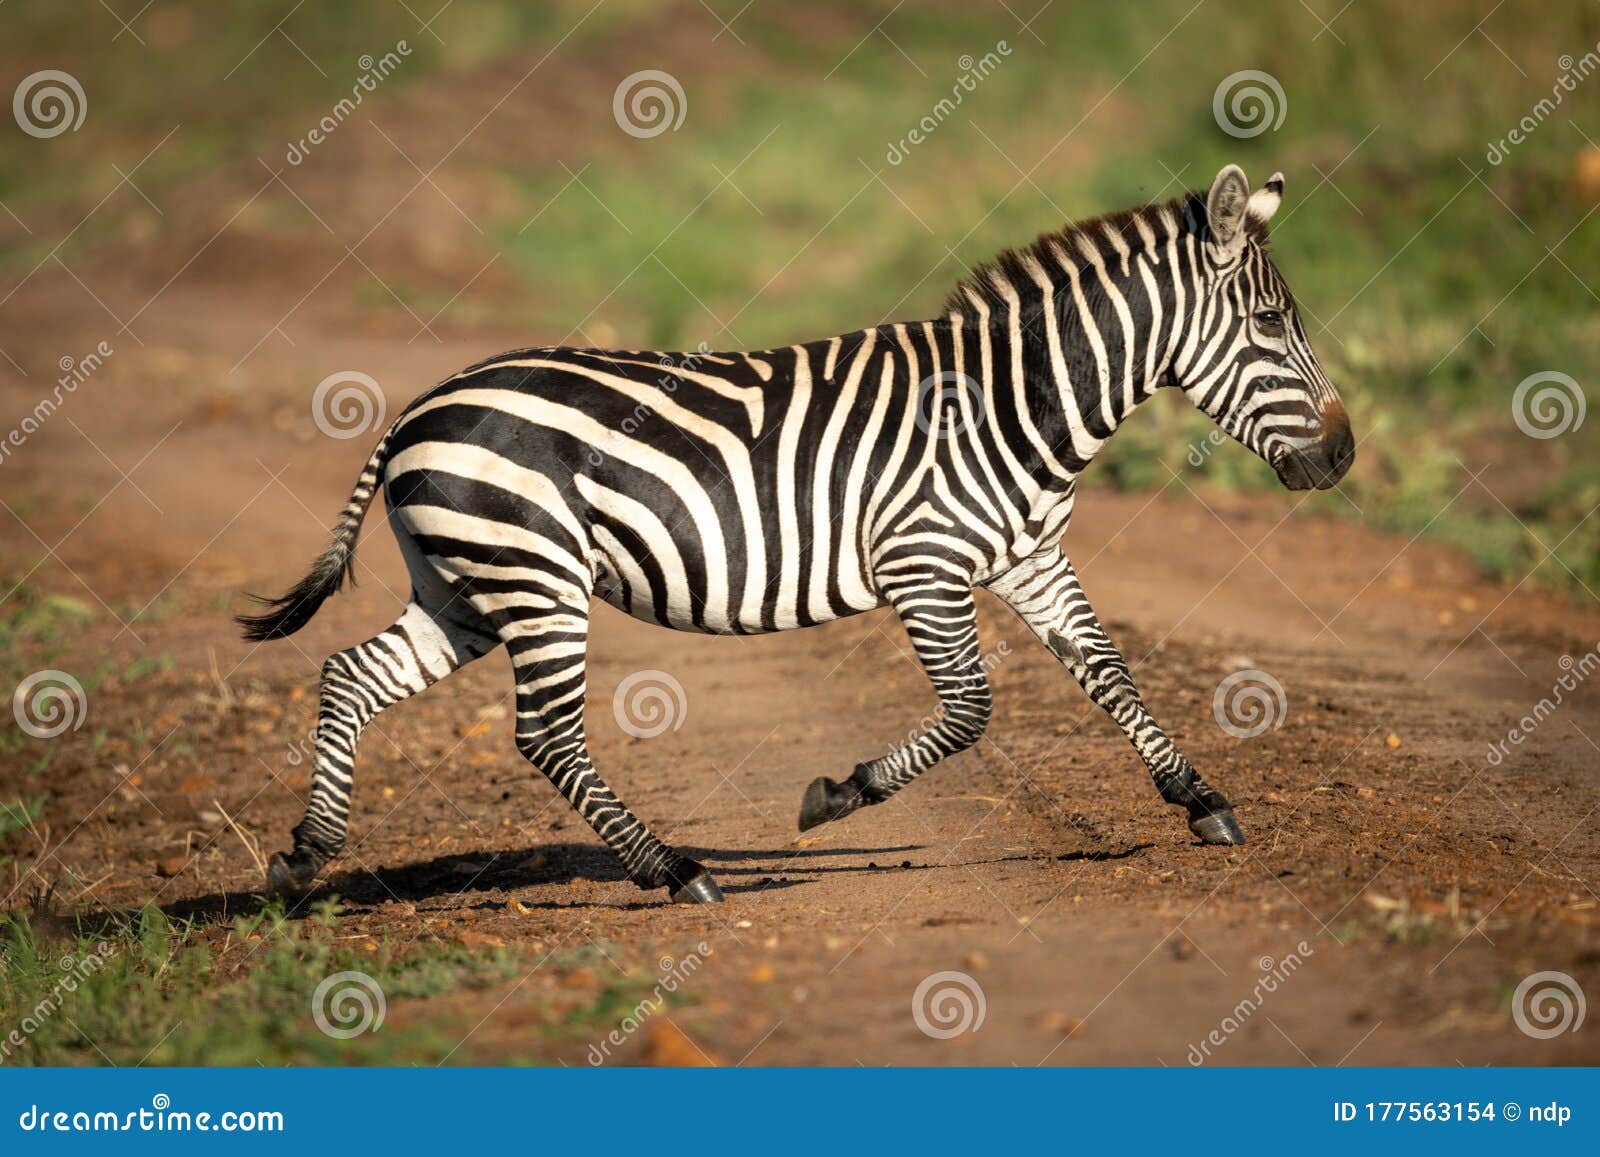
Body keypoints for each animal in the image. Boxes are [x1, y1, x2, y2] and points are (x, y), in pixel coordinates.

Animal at [240, 164, 1354, 904]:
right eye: (1270, 325)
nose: (1343, 457)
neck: (1012, 405)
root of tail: (417, 407)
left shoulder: (1031, 557)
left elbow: (1110, 674)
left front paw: (1199, 796)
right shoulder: (923, 563)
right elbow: (971, 710)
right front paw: (837, 795)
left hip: (467, 585)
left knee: (349, 674)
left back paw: (306, 854)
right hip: (534, 576)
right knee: (546, 732)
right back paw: (673, 868)